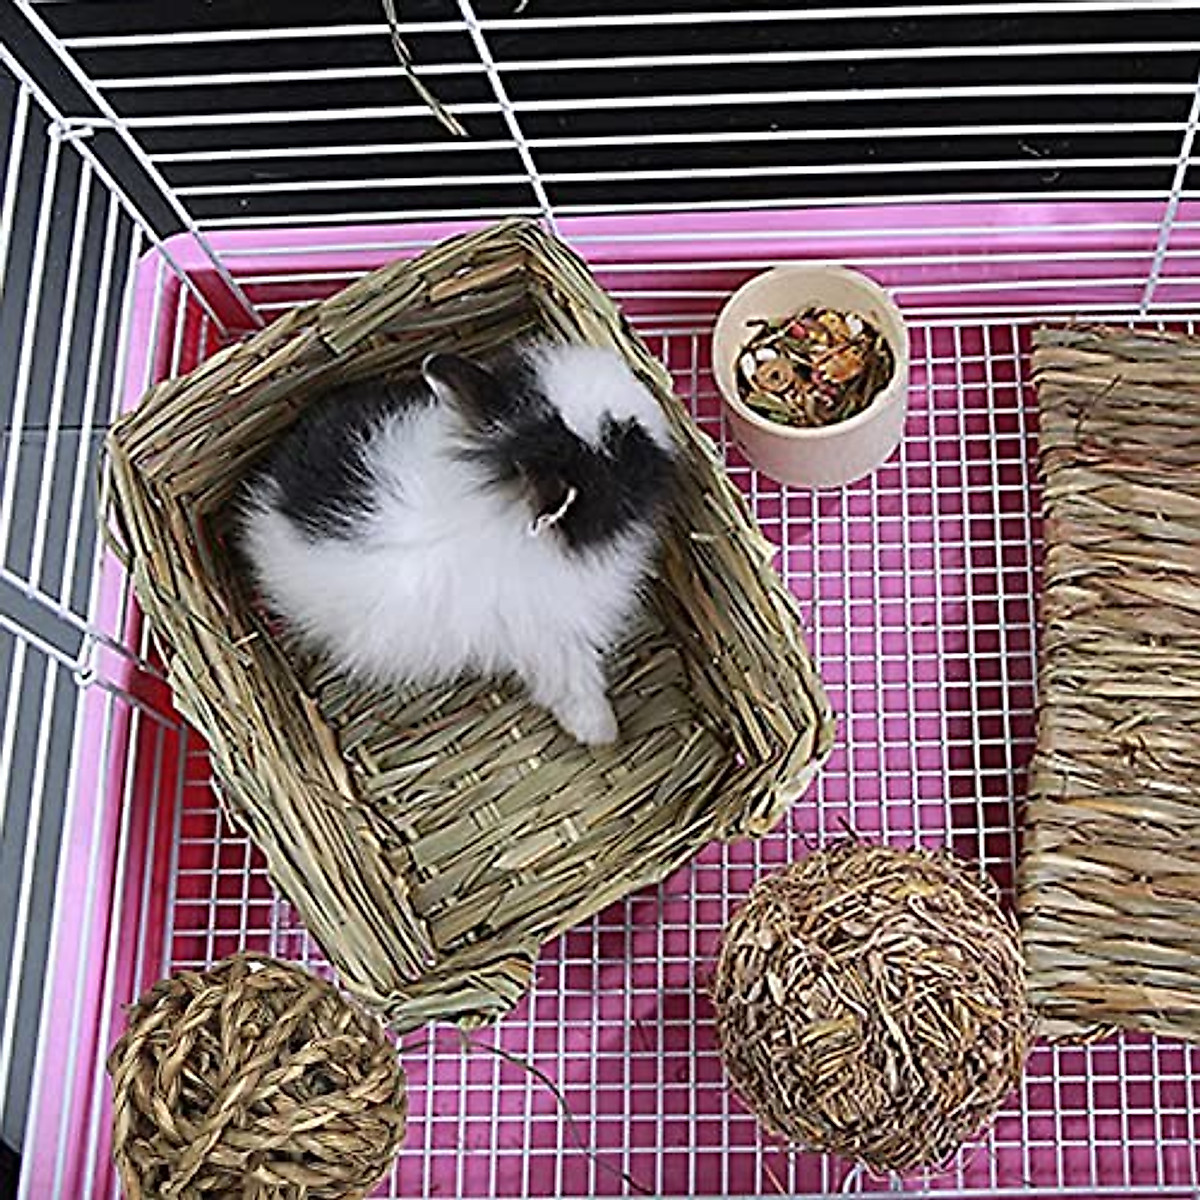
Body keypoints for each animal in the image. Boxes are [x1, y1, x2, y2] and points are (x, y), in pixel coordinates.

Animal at [236, 340, 678, 747]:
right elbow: (574, 687)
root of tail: (263, 505)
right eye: (620, 442)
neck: (499, 499)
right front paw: (603, 733)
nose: (650, 402)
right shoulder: (550, 639)